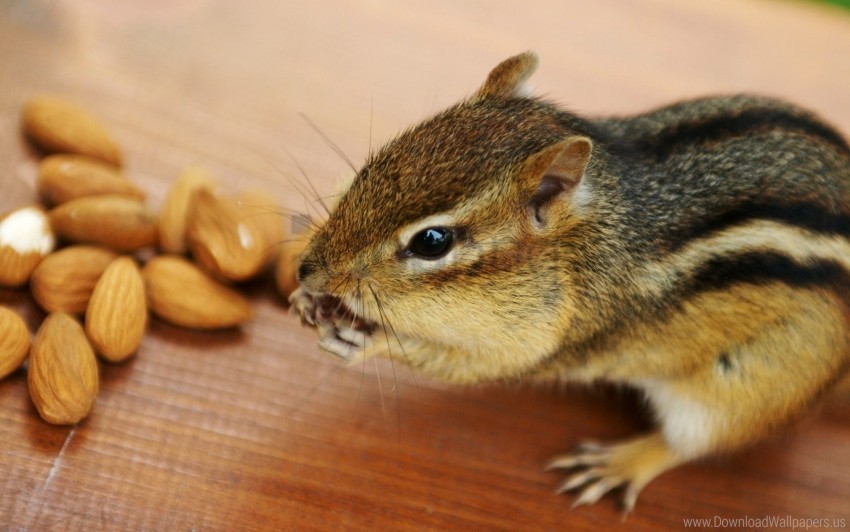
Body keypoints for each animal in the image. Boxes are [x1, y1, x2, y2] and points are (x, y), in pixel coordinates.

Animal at [289, 51, 850, 512]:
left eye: (432, 241)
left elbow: (471, 365)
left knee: (689, 441)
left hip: (747, 386)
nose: (308, 270)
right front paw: (303, 296)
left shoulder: (547, 339)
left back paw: (620, 462)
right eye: (370, 168)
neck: (580, 243)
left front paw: (367, 339)